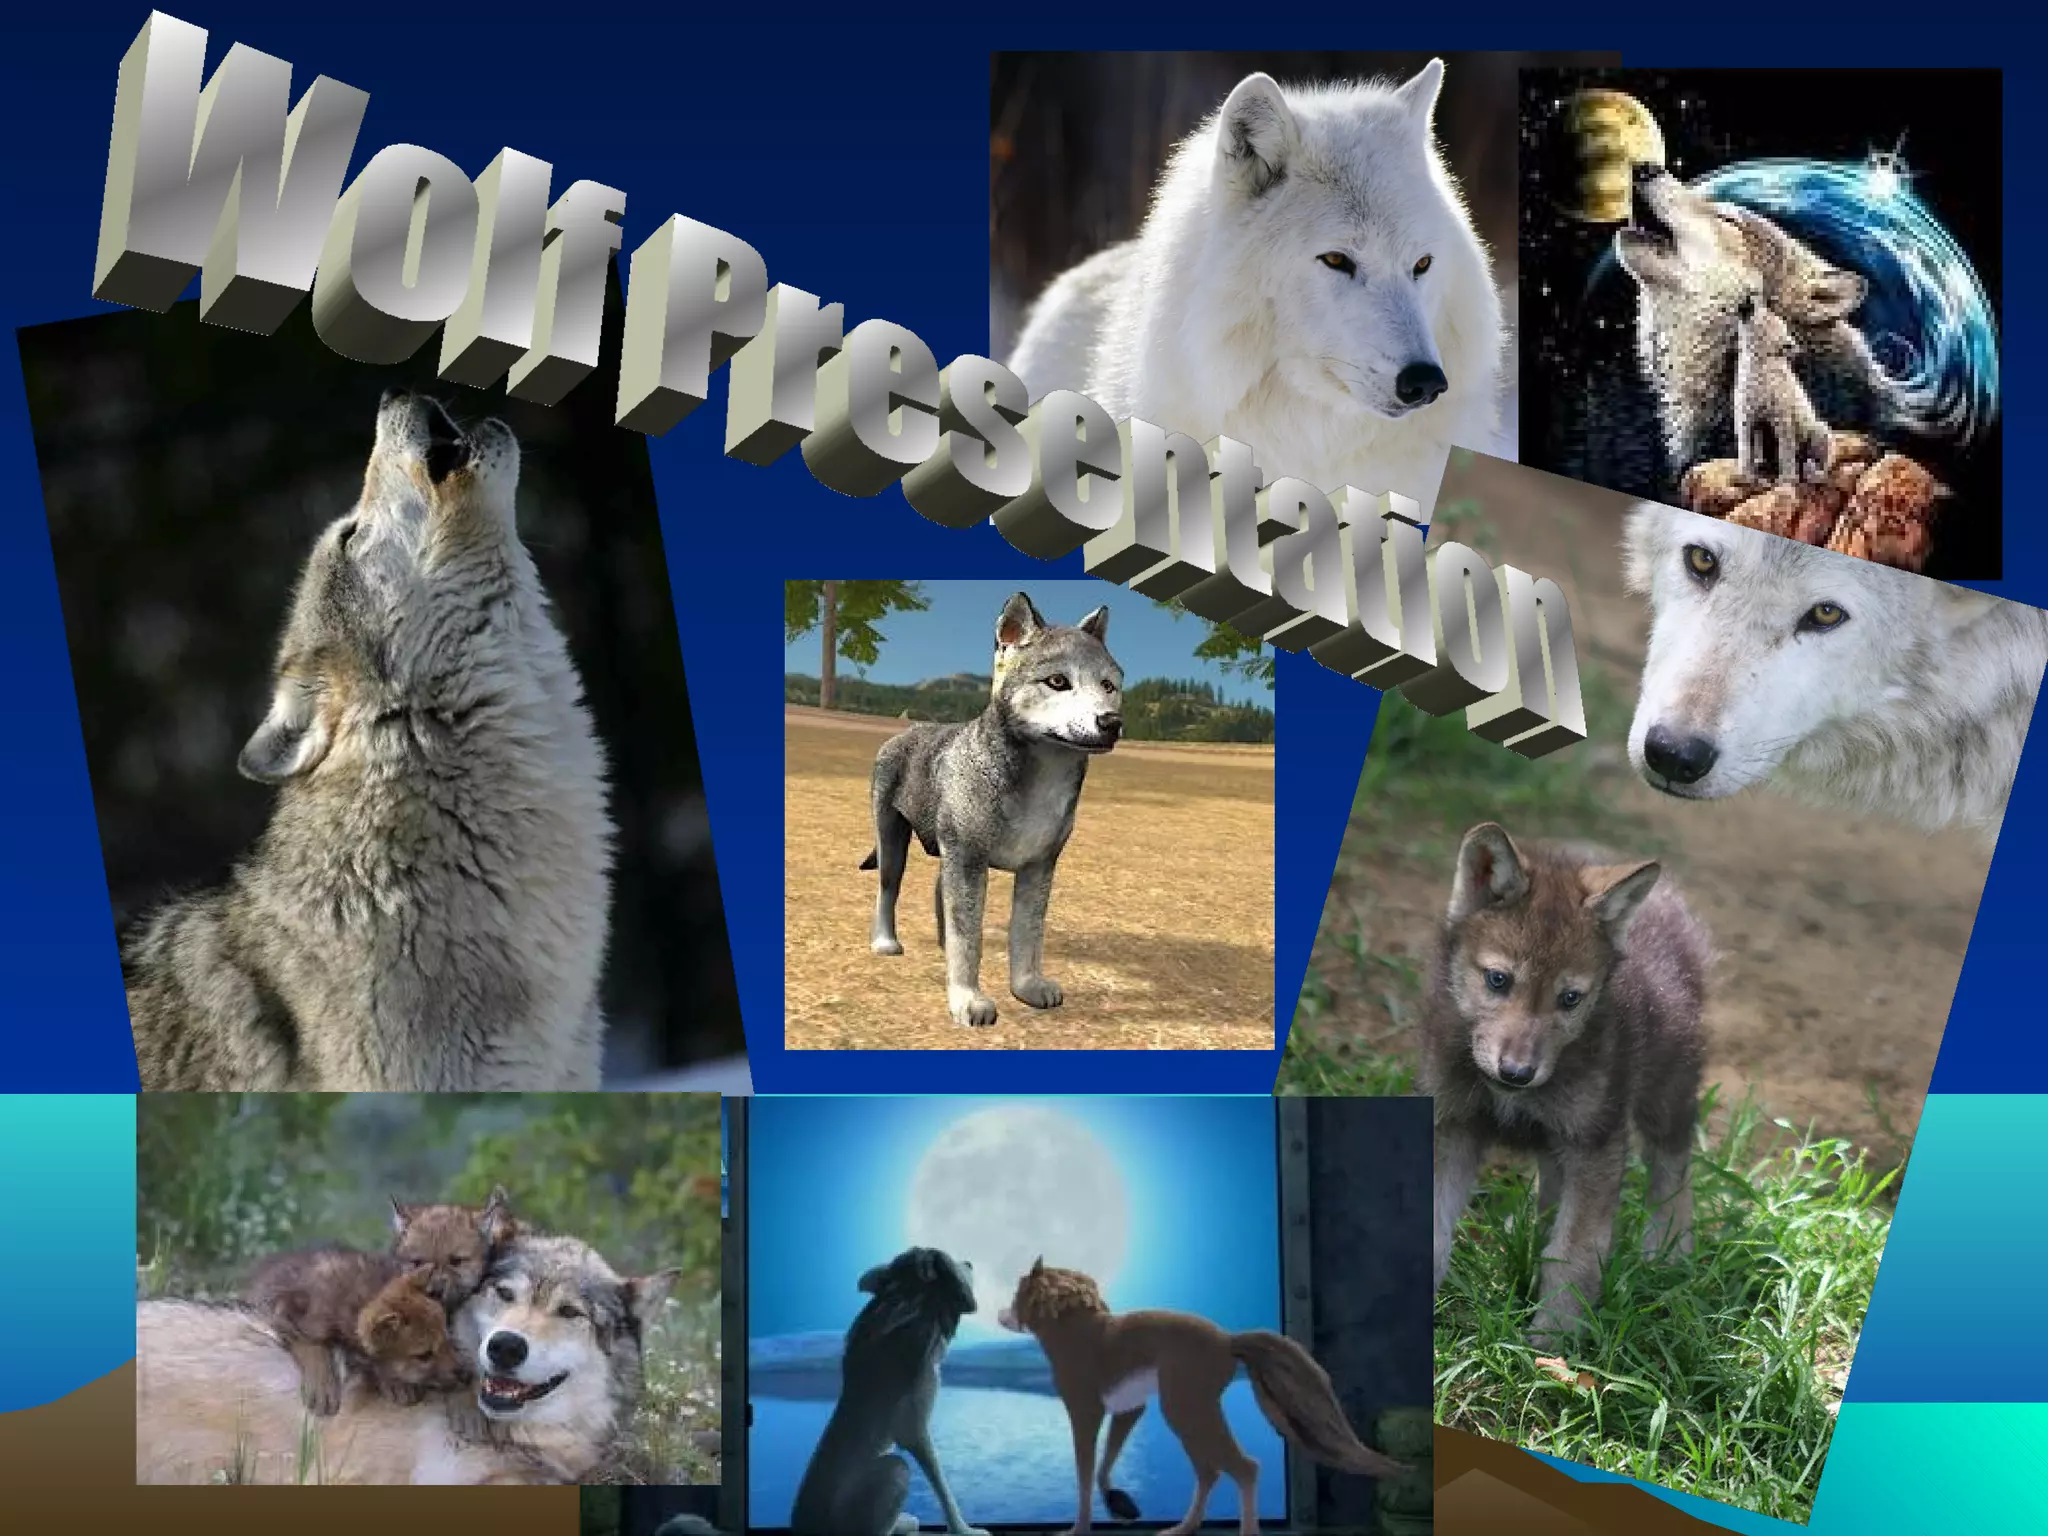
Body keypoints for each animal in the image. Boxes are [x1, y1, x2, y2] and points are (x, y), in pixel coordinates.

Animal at [791, 1246, 988, 1536]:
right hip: (896, 1469)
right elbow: (942, 1486)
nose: (970, 1262)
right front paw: (964, 1529)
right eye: (953, 1263)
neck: (913, 1305)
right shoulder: (912, 1427)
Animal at [861, 592, 1122, 1029]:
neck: (1039, 779)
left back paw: (941, 945)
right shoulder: (968, 857)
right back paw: (885, 941)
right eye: (1057, 682)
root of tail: (906, 731)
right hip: (892, 838)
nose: (1111, 721)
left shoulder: (1039, 866)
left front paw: (1027, 987)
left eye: (1108, 686)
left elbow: (1026, 931)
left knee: (938, 890)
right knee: (888, 888)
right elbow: (969, 935)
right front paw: (967, 1001)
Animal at [998, 1258, 1407, 1536]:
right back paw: (1181, 1529)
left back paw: (1244, 1531)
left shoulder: (1085, 1410)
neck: (1076, 1331)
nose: (1002, 1313)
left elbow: (1084, 1471)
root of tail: (1228, 1341)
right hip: (1188, 1413)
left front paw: (1077, 1529)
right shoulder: (1129, 1409)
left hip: (1185, 1408)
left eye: (1018, 1294)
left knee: (1243, 1467)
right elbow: (1104, 1464)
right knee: (1210, 1471)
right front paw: (1121, 1505)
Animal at [1420, 824, 1710, 1348]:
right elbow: (1432, 1234)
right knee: (1553, 1187)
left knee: (1673, 1165)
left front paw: (1550, 1344)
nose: (1516, 1072)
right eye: (1498, 979)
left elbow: (1573, 1253)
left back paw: (1669, 1251)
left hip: (1666, 1090)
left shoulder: (1596, 1139)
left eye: (1570, 998)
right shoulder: (1451, 1126)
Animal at [1734, 293, 1832, 486]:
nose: (1792, 346)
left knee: (1818, 462)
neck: (1760, 363)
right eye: (1770, 323)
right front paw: (1745, 476)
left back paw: (1810, 472)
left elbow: (1785, 447)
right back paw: (1763, 467)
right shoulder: (1746, 417)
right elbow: (1745, 446)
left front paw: (1787, 479)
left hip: (1818, 431)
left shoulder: (1782, 415)